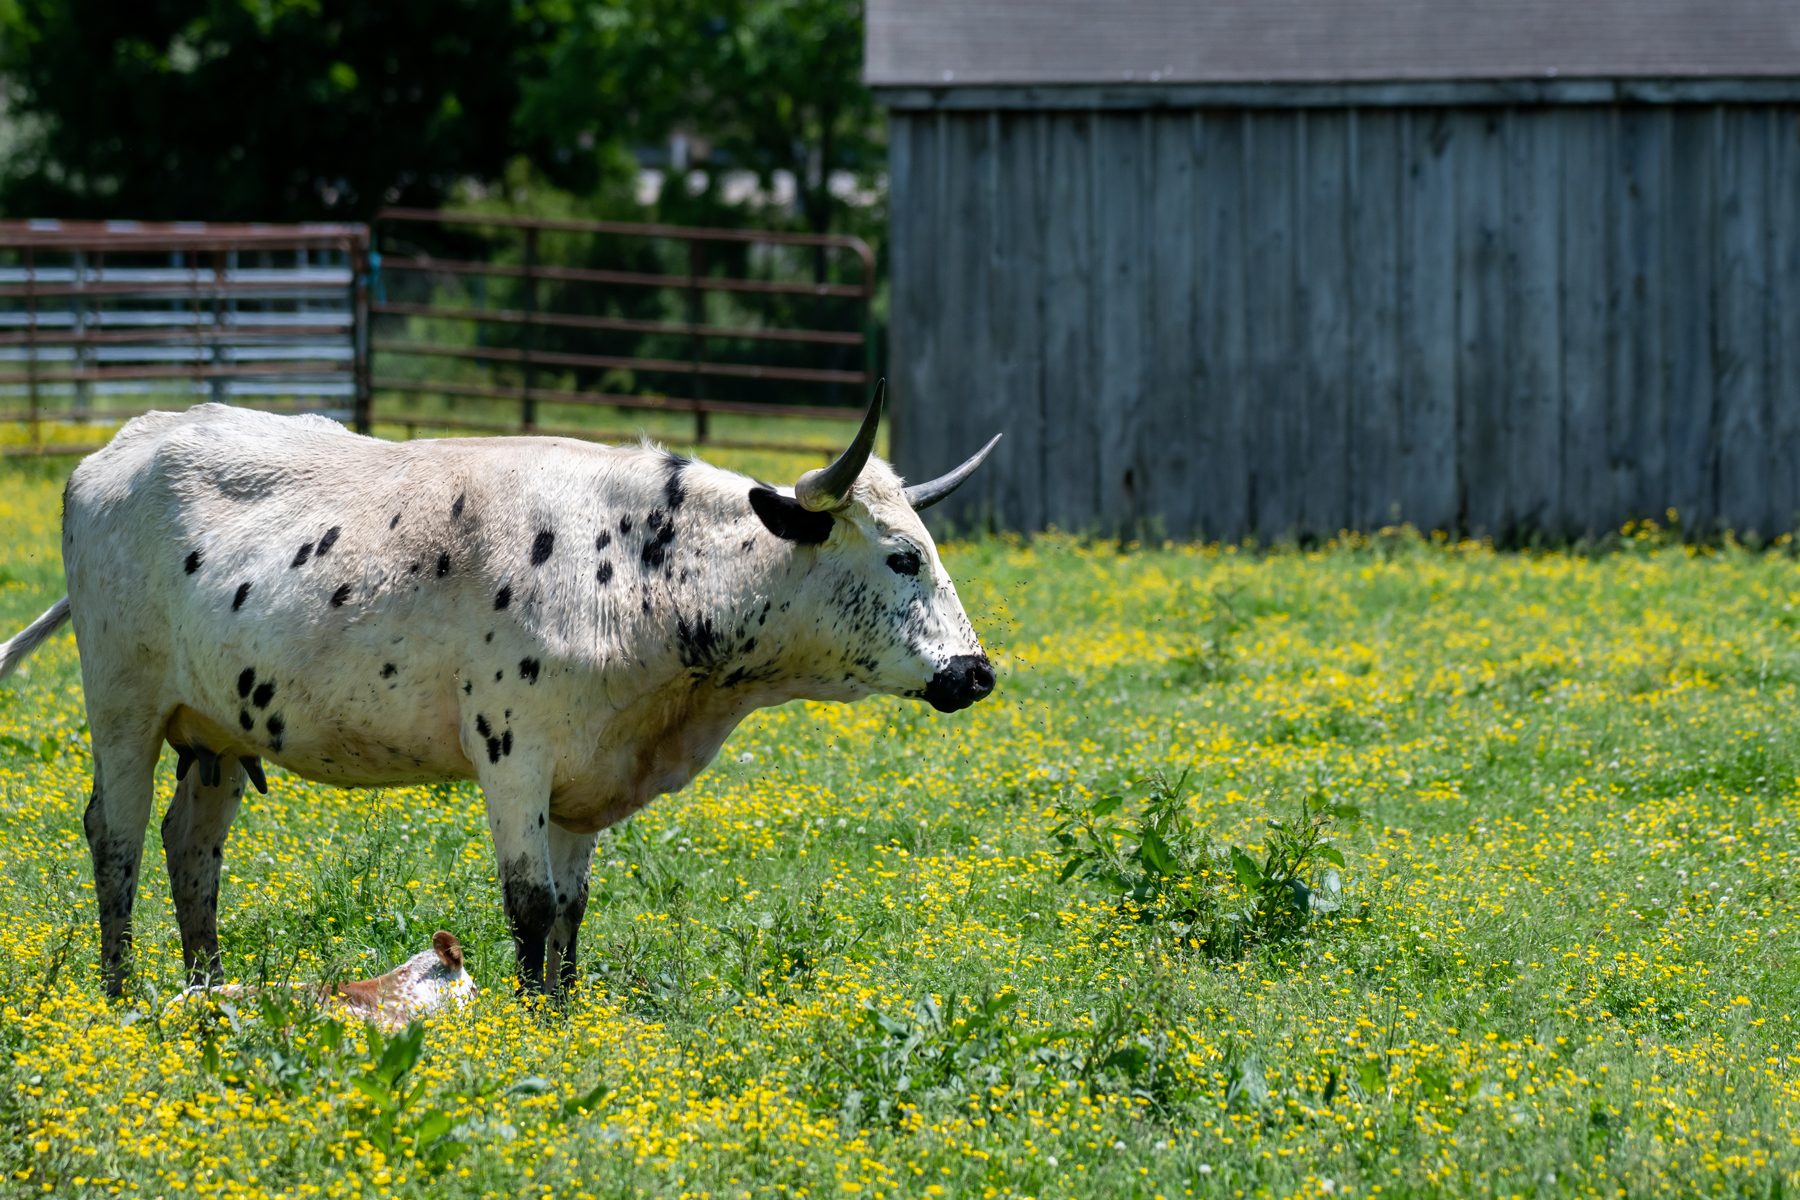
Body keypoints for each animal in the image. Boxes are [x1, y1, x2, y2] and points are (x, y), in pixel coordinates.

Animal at [0, 385, 998, 998]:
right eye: (901, 556)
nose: (976, 671)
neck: (641, 568)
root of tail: (122, 447)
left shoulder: (583, 784)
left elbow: (571, 910)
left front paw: (562, 1012)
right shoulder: (515, 757)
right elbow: (530, 904)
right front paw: (528, 1025)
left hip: (213, 731)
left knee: (191, 847)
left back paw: (207, 987)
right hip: (122, 706)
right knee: (118, 837)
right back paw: (122, 992)